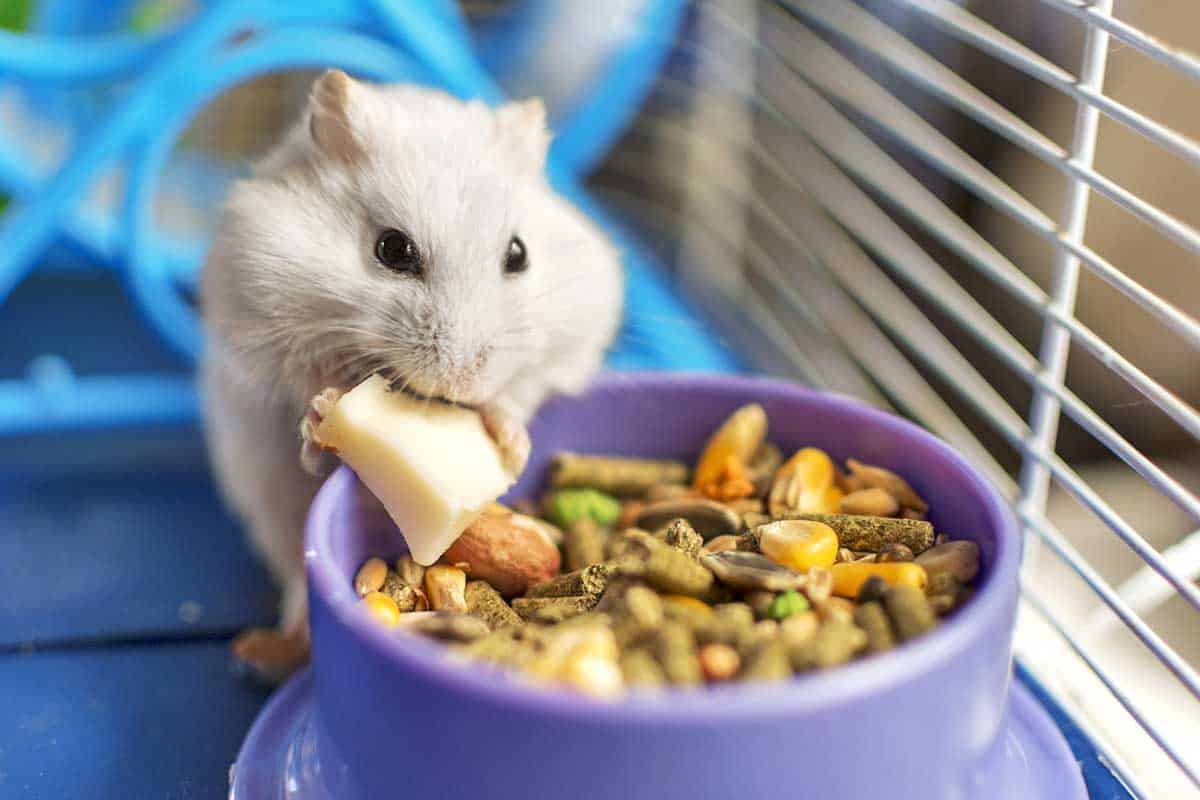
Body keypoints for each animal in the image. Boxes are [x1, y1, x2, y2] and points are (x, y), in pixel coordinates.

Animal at [199, 70, 623, 675]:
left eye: (519, 254)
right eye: (392, 249)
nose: (461, 381)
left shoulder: (571, 339)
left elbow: (516, 394)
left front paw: (512, 445)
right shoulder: (258, 322)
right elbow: (306, 386)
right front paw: (324, 412)